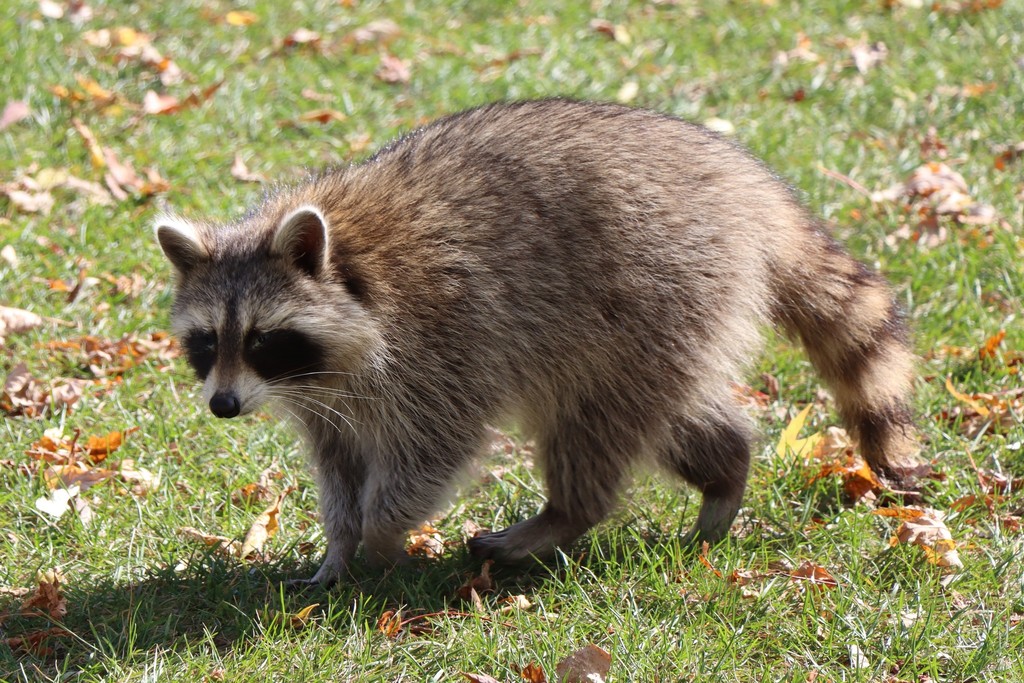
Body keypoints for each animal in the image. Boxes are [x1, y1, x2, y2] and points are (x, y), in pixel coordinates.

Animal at [155, 99, 924, 587]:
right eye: (208, 341)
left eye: (263, 338)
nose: (223, 405)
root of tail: (748, 187)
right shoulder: (327, 397)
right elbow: (339, 466)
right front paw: (340, 543)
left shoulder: (442, 342)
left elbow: (430, 450)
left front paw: (381, 534)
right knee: (666, 416)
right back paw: (725, 470)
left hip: (654, 293)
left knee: (591, 424)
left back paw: (564, 515)